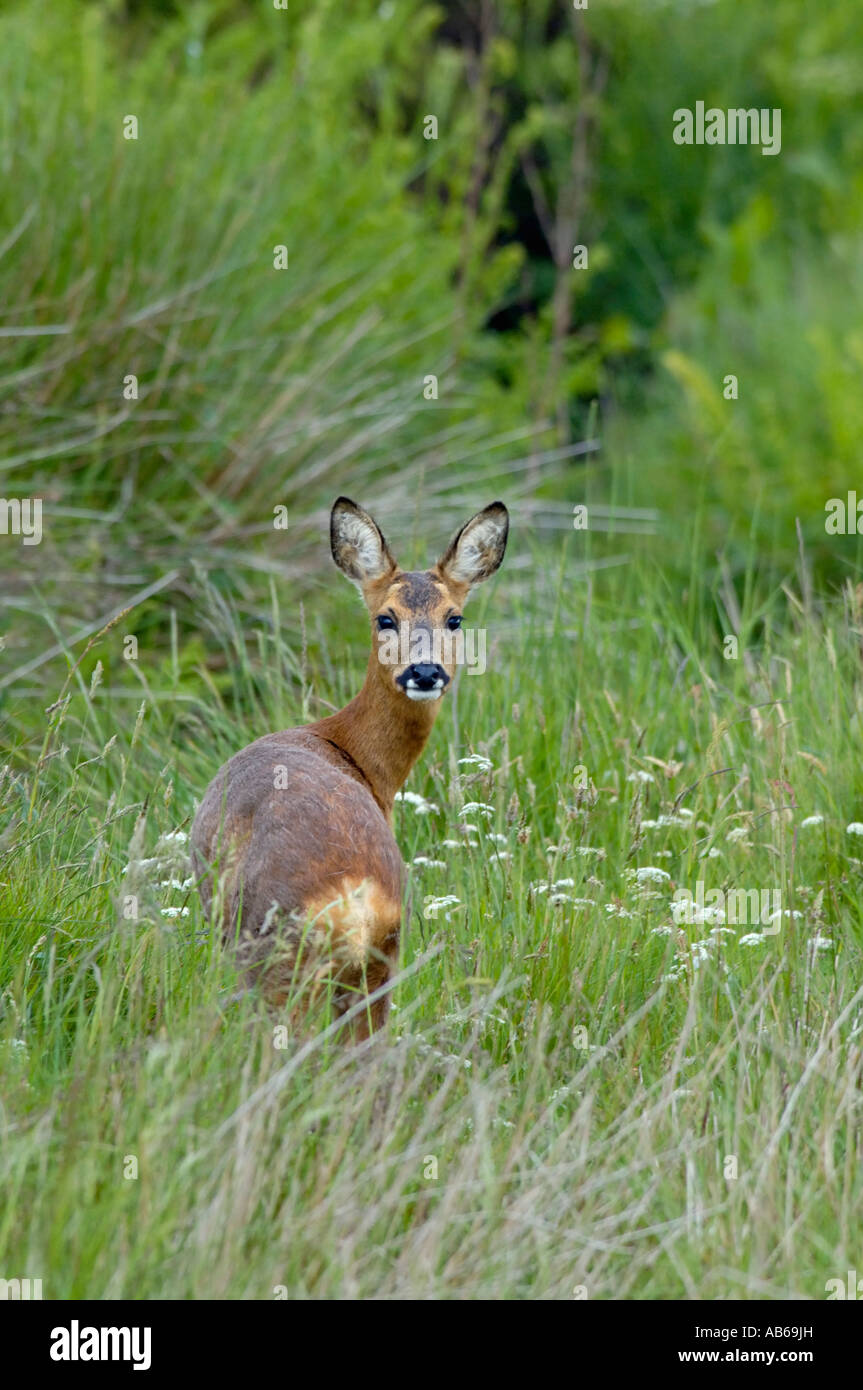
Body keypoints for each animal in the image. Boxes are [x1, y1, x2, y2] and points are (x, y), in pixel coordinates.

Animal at [190, 496, 508, 1040]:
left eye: (454, 619)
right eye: (385, 618)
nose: (425, 672)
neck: (350, 749)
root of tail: (353, 894)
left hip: (274, 960)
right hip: (380, 959)